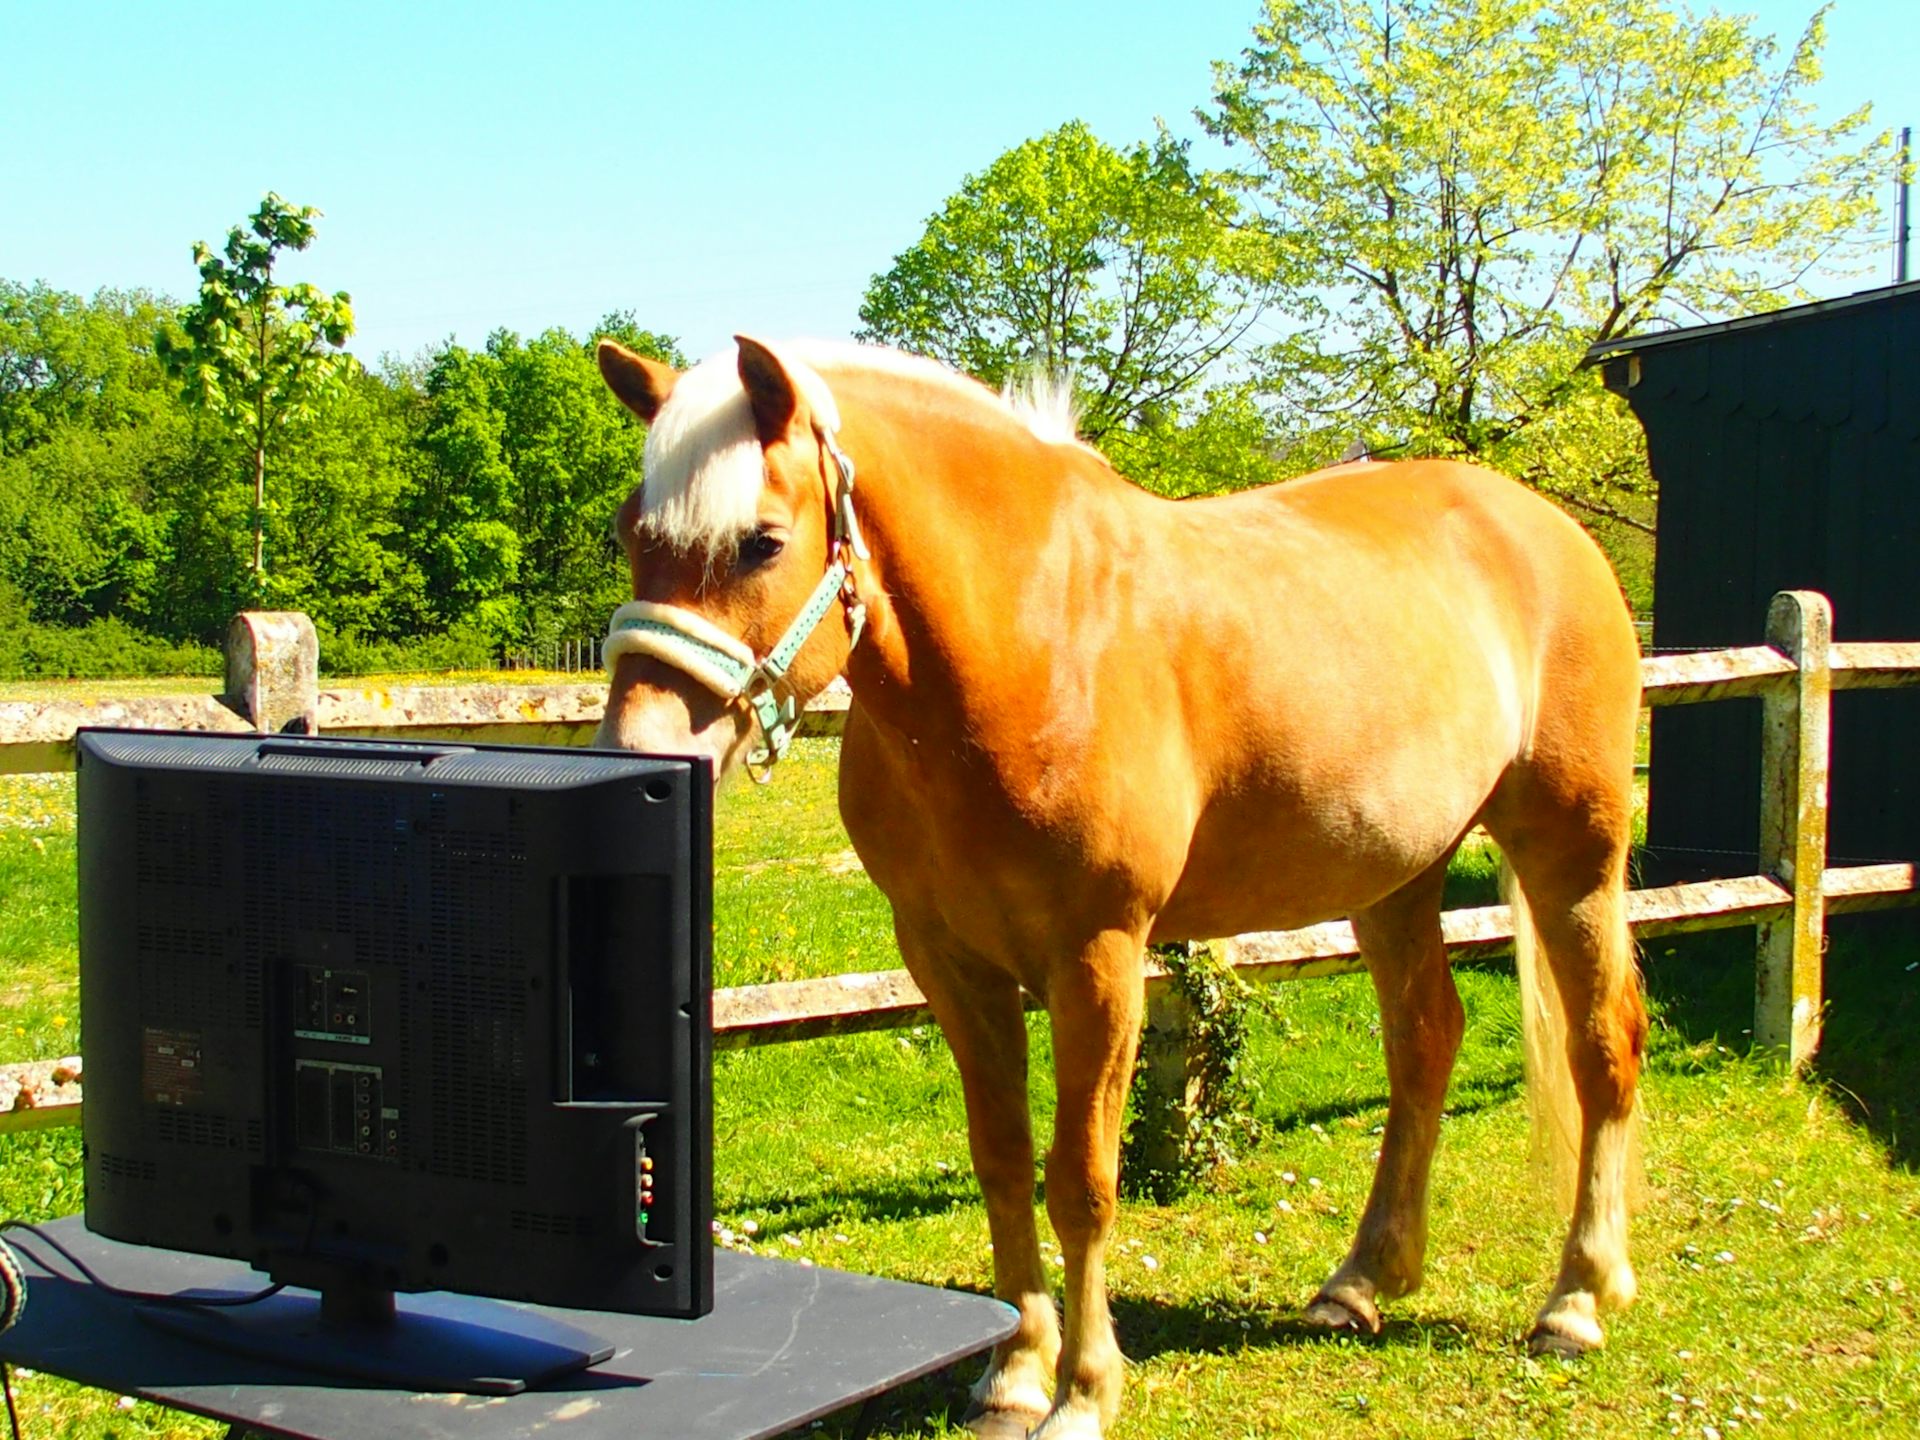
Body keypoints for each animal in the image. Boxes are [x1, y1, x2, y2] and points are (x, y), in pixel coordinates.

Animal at [591, 335, 1646, 1440]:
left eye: (760, 542)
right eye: (630, 530)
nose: (641, 753)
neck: (1029, 641)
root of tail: (1547, 528)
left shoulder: (1098, 956)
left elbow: (1083, 1181)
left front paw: (1085, 1390)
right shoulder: (949, 961)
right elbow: (1003, 1159)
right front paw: (1015, 1373)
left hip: (1572, 851)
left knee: (1602, 1043)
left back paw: (1577, 1299)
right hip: (1398, 876)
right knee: (1425, 1042)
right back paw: (1360, 1281)